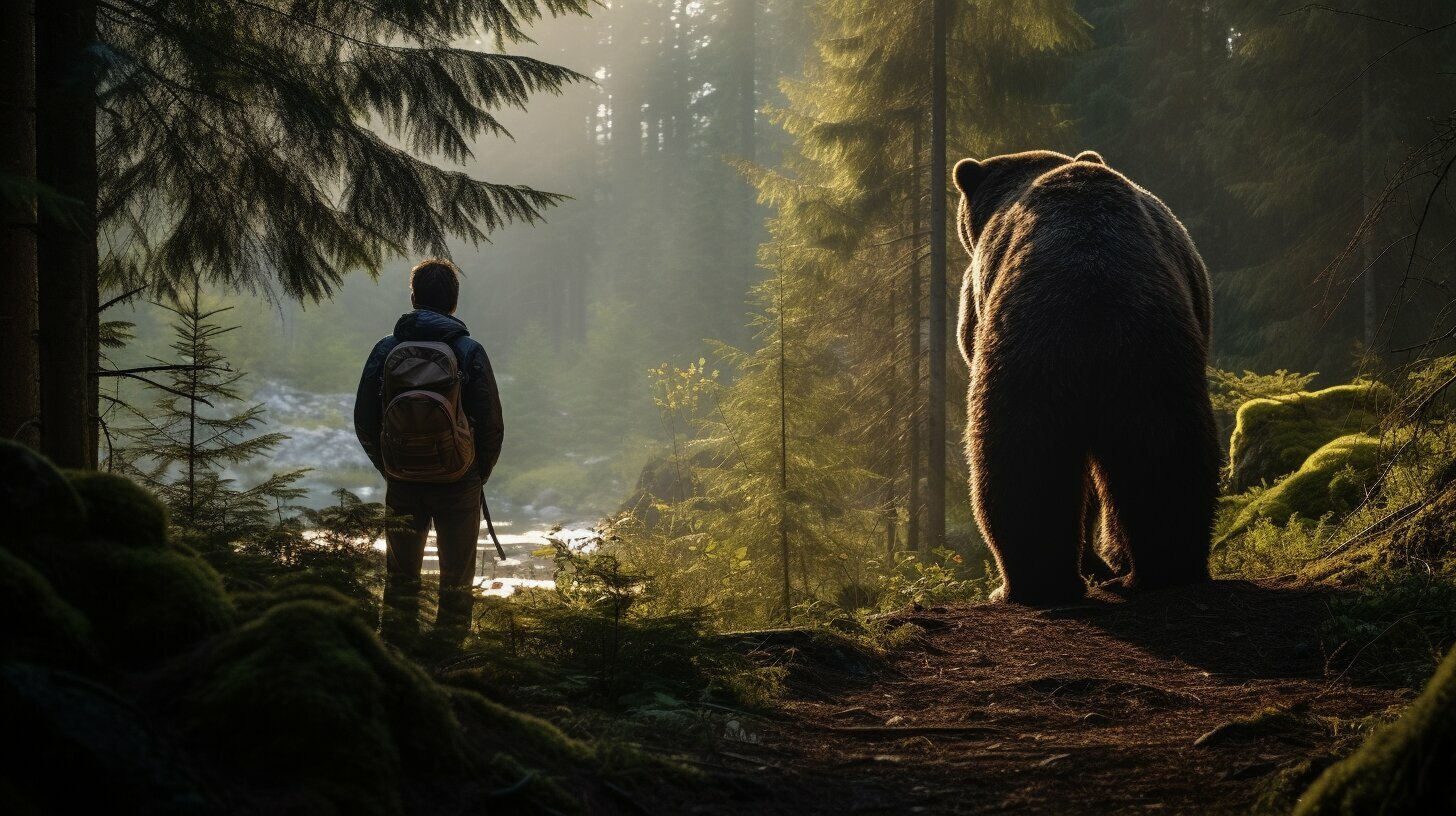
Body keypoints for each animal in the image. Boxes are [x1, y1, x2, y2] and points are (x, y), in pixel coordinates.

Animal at [954, 149, 1220, 604]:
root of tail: (1092, 290)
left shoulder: (976, 300)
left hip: (1026, 354)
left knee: (1014, 459)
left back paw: (1030, 584)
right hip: (1148, 357)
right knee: (1164, 451)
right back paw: (1164, 566)